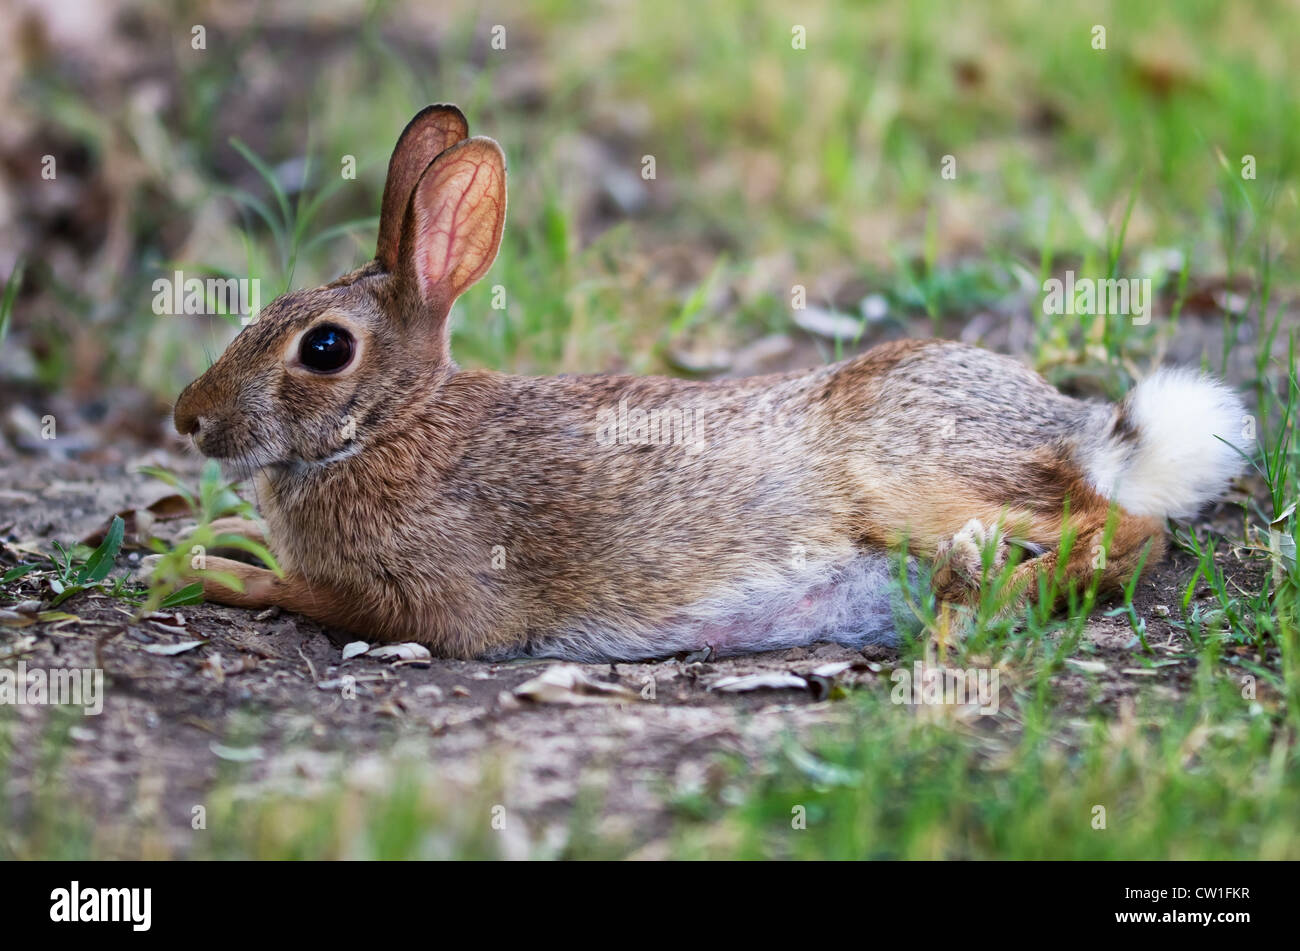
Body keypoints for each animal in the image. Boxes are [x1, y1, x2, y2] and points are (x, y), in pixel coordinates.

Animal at [159, 104, 1249, 662]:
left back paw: (983, 605)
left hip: (914, 474)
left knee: (1131, 531)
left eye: (324, 349)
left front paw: (206, 570)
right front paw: (216, 539)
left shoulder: (442, 600)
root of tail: (1084, 431)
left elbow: (311, 596)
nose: (187, 420)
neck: (390, 424)